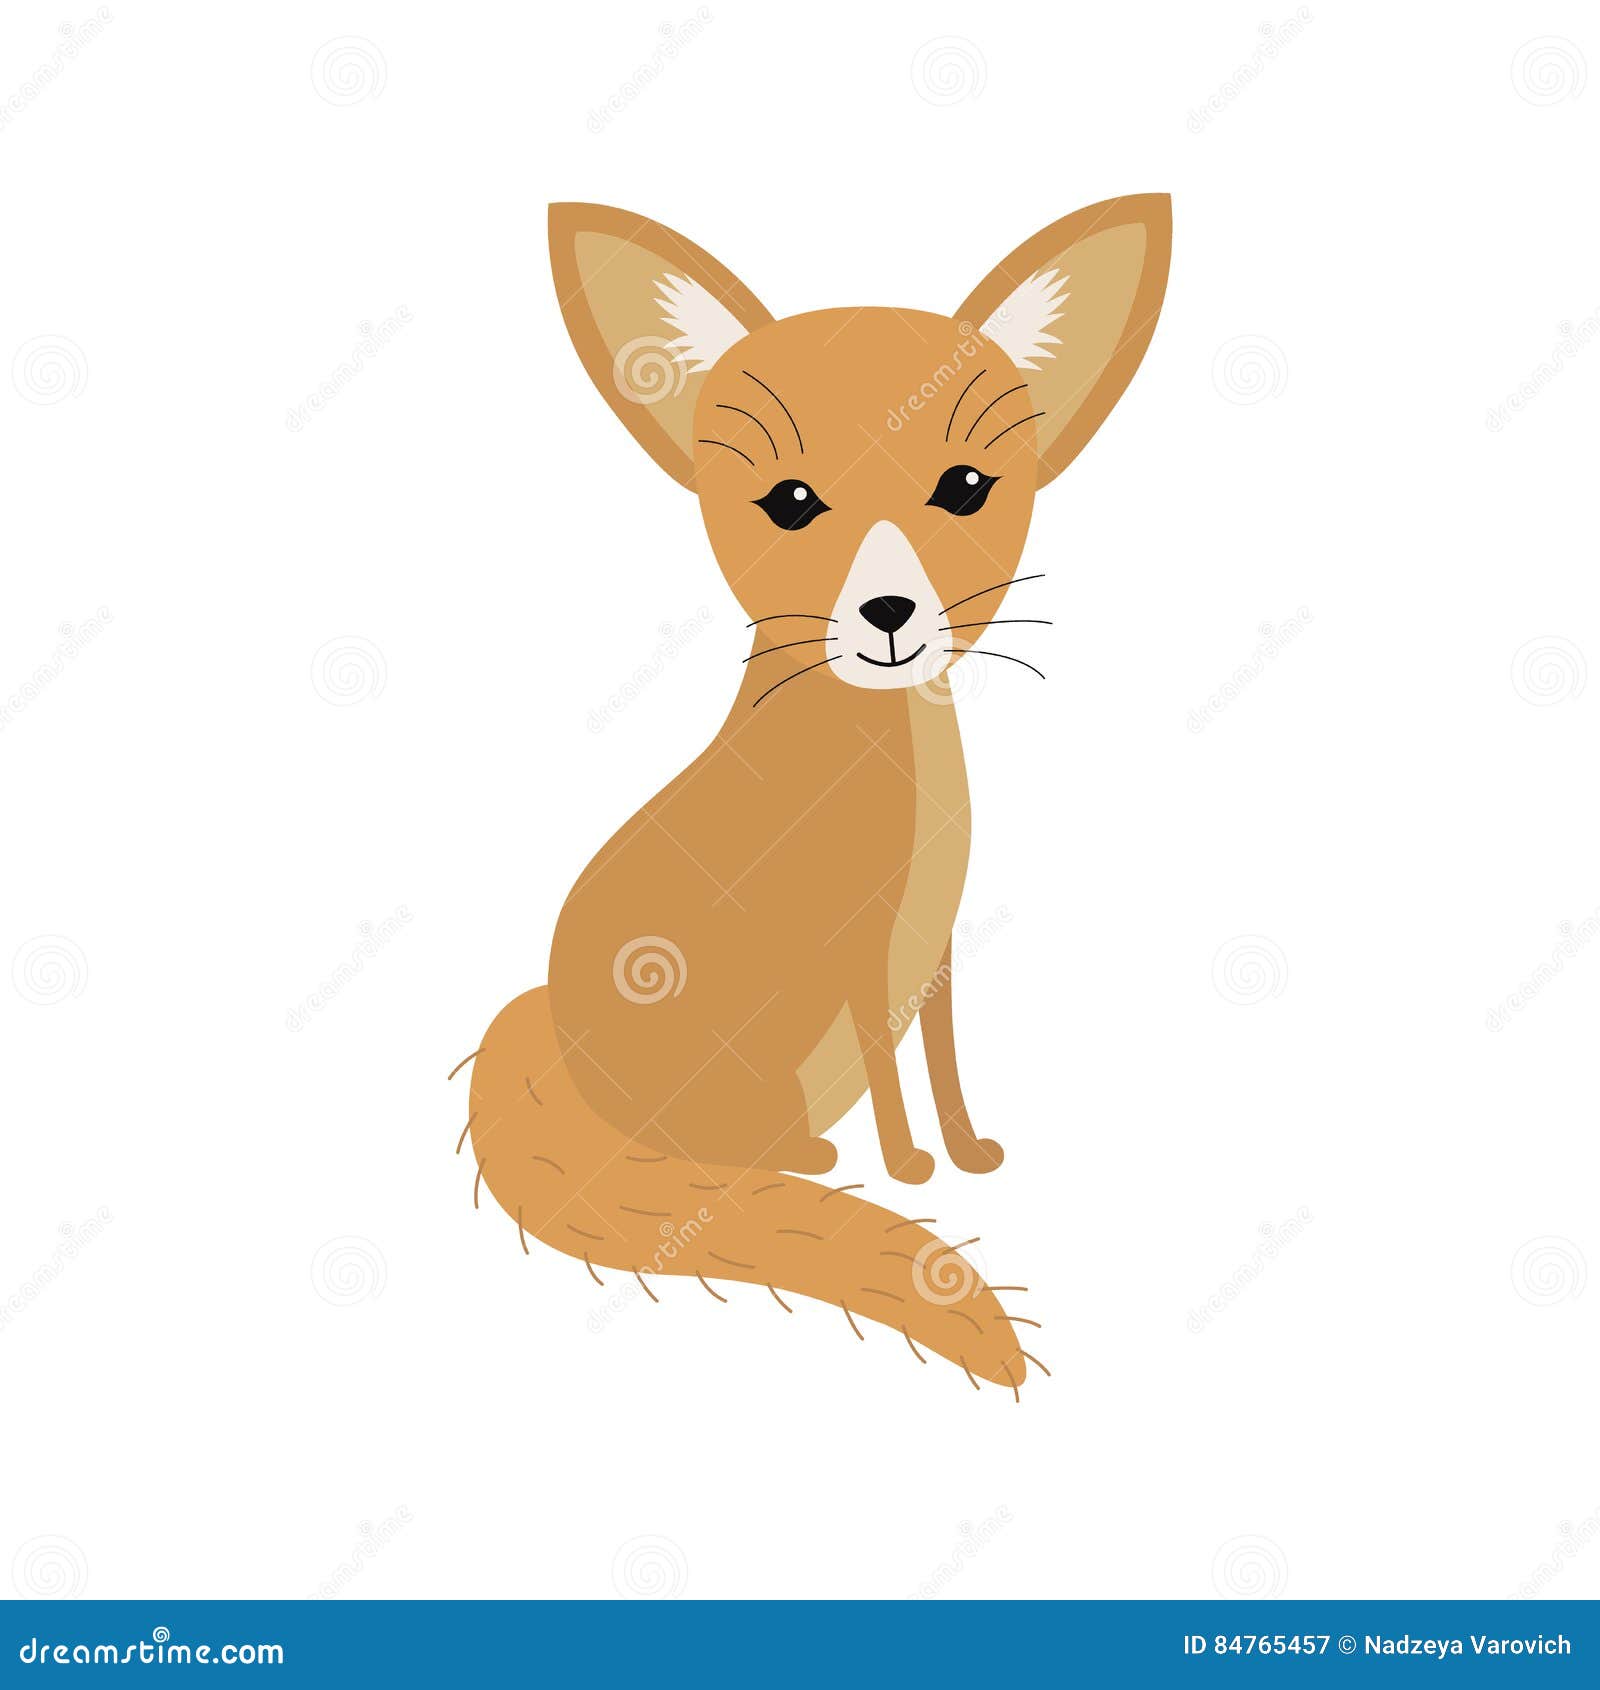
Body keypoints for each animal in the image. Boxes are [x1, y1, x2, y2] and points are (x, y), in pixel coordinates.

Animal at [456, 196, 1171, 1394]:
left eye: (964, 489)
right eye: (790, 505)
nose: (887, 612)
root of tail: (546, 1026)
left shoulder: (930, 943)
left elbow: (942, 1058)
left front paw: (965, 1150)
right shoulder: (853, 940)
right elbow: (891, 1071)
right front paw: (908, 1165)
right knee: (721, 1144)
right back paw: (804, 1154)